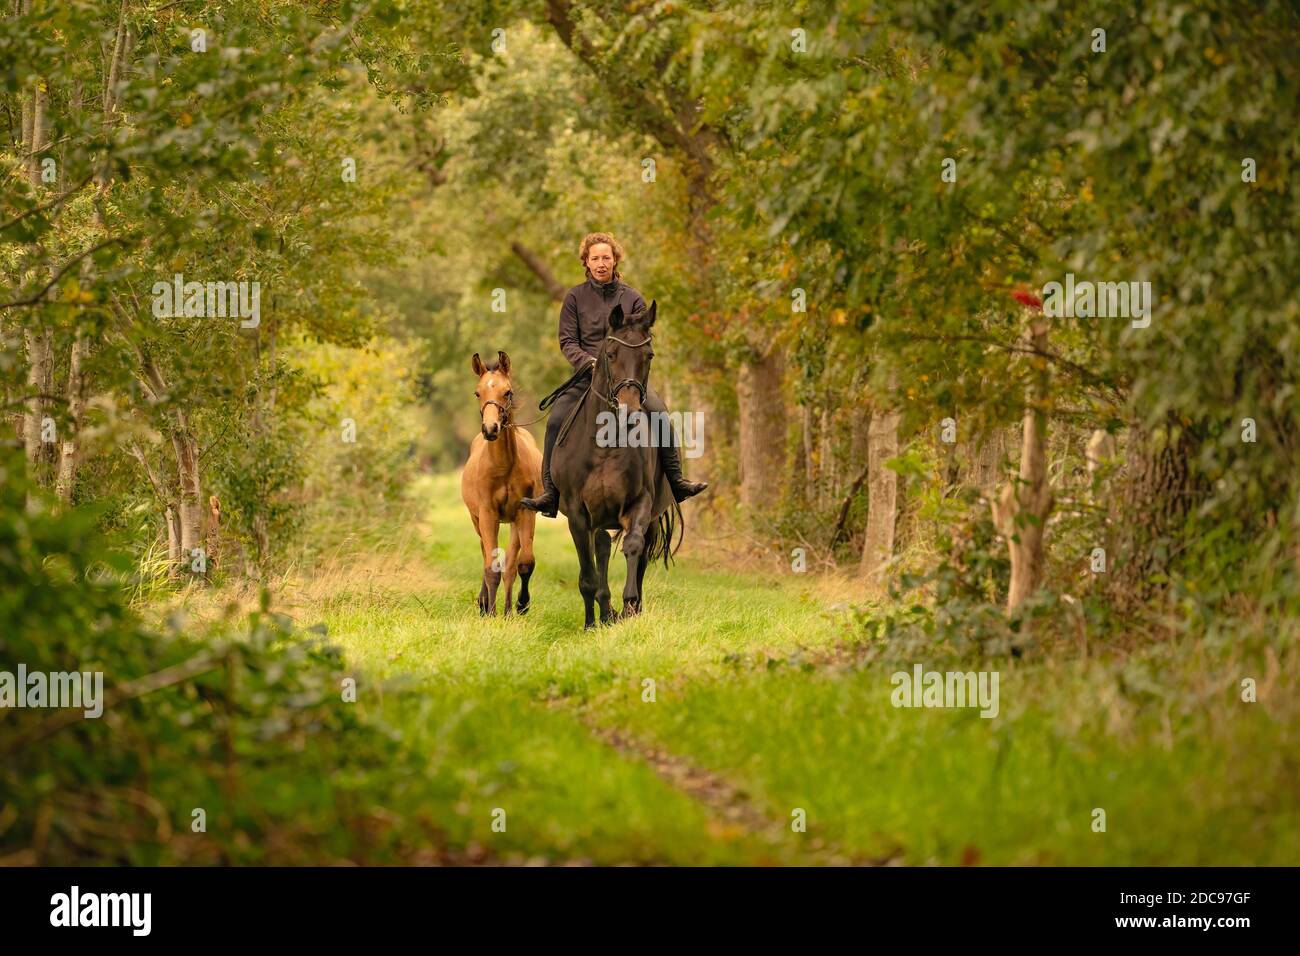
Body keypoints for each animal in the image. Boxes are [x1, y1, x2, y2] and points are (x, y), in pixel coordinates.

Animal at [460, 350, 542, 616]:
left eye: (508, 392)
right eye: (478, 393)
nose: (490, 429)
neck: (504, 467)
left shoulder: (524, 513)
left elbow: (523, 564)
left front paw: (519, 606)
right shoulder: (488, 515)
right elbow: (491, 567)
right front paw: (490, 612)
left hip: (514, 522)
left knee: (511, 565)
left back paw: (506, 609)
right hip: (477, 520)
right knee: (485, 553)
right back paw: (485, 603)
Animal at [550, 301, 681, 628]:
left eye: (649, 355)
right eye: (610, 354)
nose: (629, 411)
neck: (606, 443)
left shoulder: (639, 503)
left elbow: (632, 547)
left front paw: (629, 606)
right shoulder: (578, 515)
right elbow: (588, 571)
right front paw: (590, 623)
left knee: (639, 553)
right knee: (602, 549)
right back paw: (604, 612)